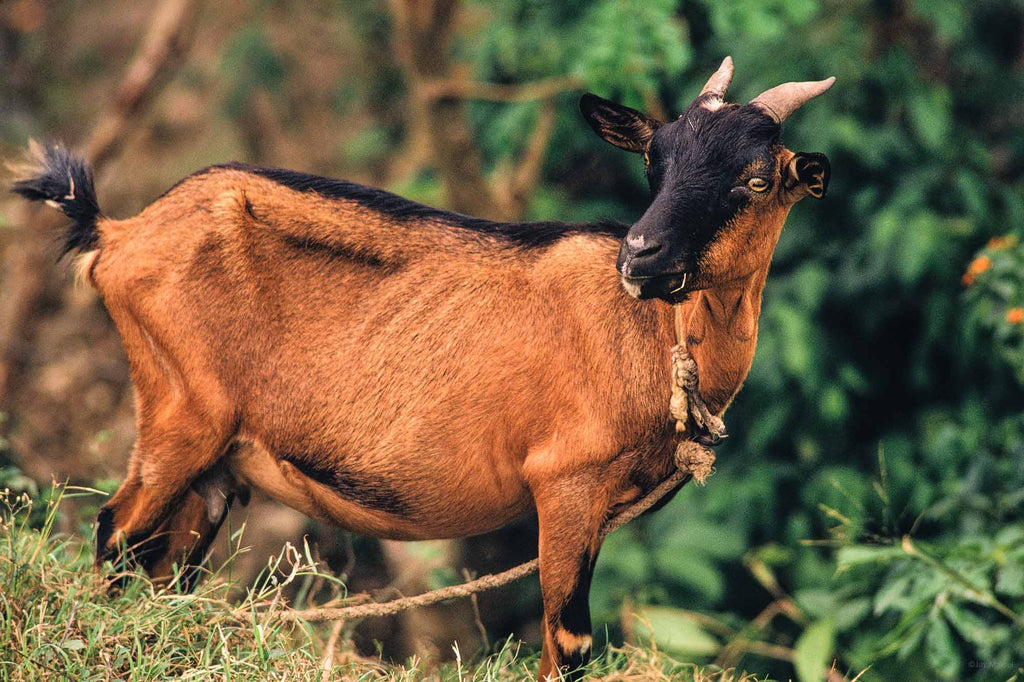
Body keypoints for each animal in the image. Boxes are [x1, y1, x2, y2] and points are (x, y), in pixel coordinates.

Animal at [13, 58, 832, 680]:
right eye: (654, 161)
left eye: (757, 180)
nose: (641, 255)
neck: (652, 333)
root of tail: (117, 233)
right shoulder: (567, 483)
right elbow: (567, 640)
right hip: (182, 411)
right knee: (115, 532)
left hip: (214, 462)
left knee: (165, 568)